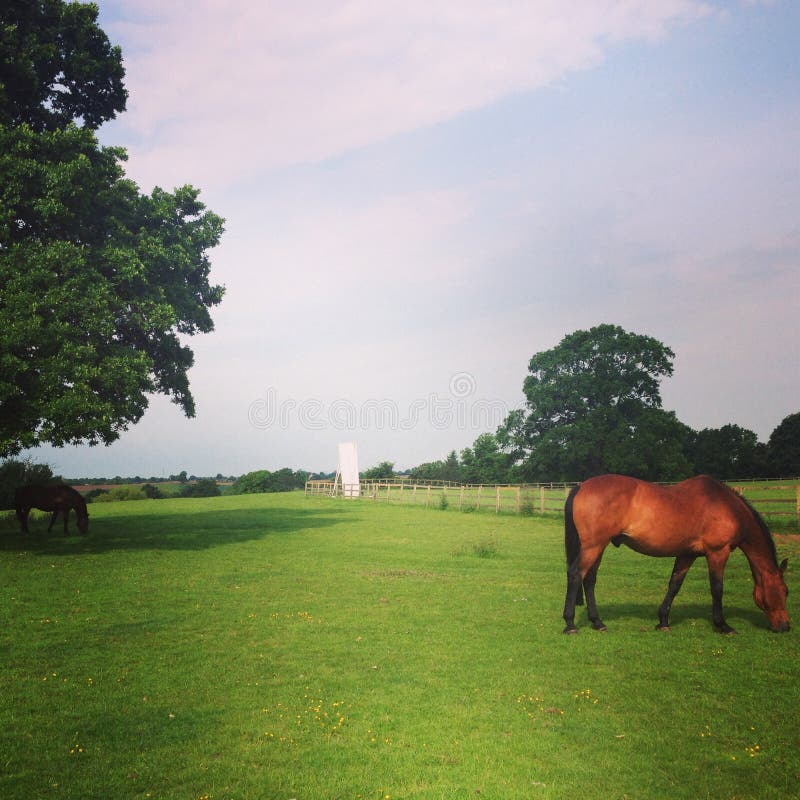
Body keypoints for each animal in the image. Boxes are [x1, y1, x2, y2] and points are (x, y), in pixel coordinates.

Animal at [563, 474, 789, 634]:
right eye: (785, 591)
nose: (785, 626)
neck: (727, 508)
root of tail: (581, 486)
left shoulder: (686, 554)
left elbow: (674, 585)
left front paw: (663, 621)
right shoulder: (718, 553)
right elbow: (717, 589)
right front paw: (723, 625)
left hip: (598, 547)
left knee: (589, 579)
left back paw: (597, 622)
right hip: (593, 546)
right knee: (575, 575)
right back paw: (570, 624)